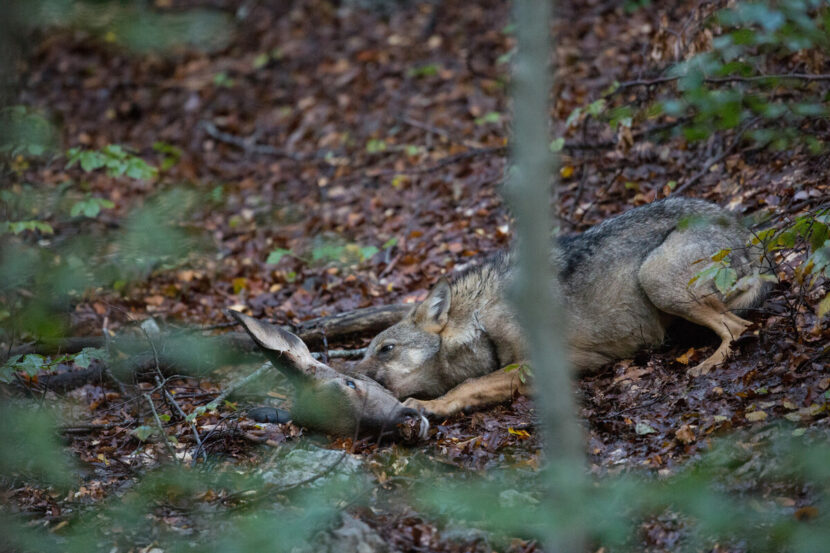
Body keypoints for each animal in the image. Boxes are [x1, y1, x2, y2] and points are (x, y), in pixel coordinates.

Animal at [354, 197, 770, 418]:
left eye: (385, 349)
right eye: (364, 352)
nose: (348, 376)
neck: (480, 321)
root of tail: (745, 232)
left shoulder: (543, 362)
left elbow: (470, 383)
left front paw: (432, 405)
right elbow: (476, 387)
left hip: (655, 277)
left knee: (738, 328)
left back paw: (708, 365)